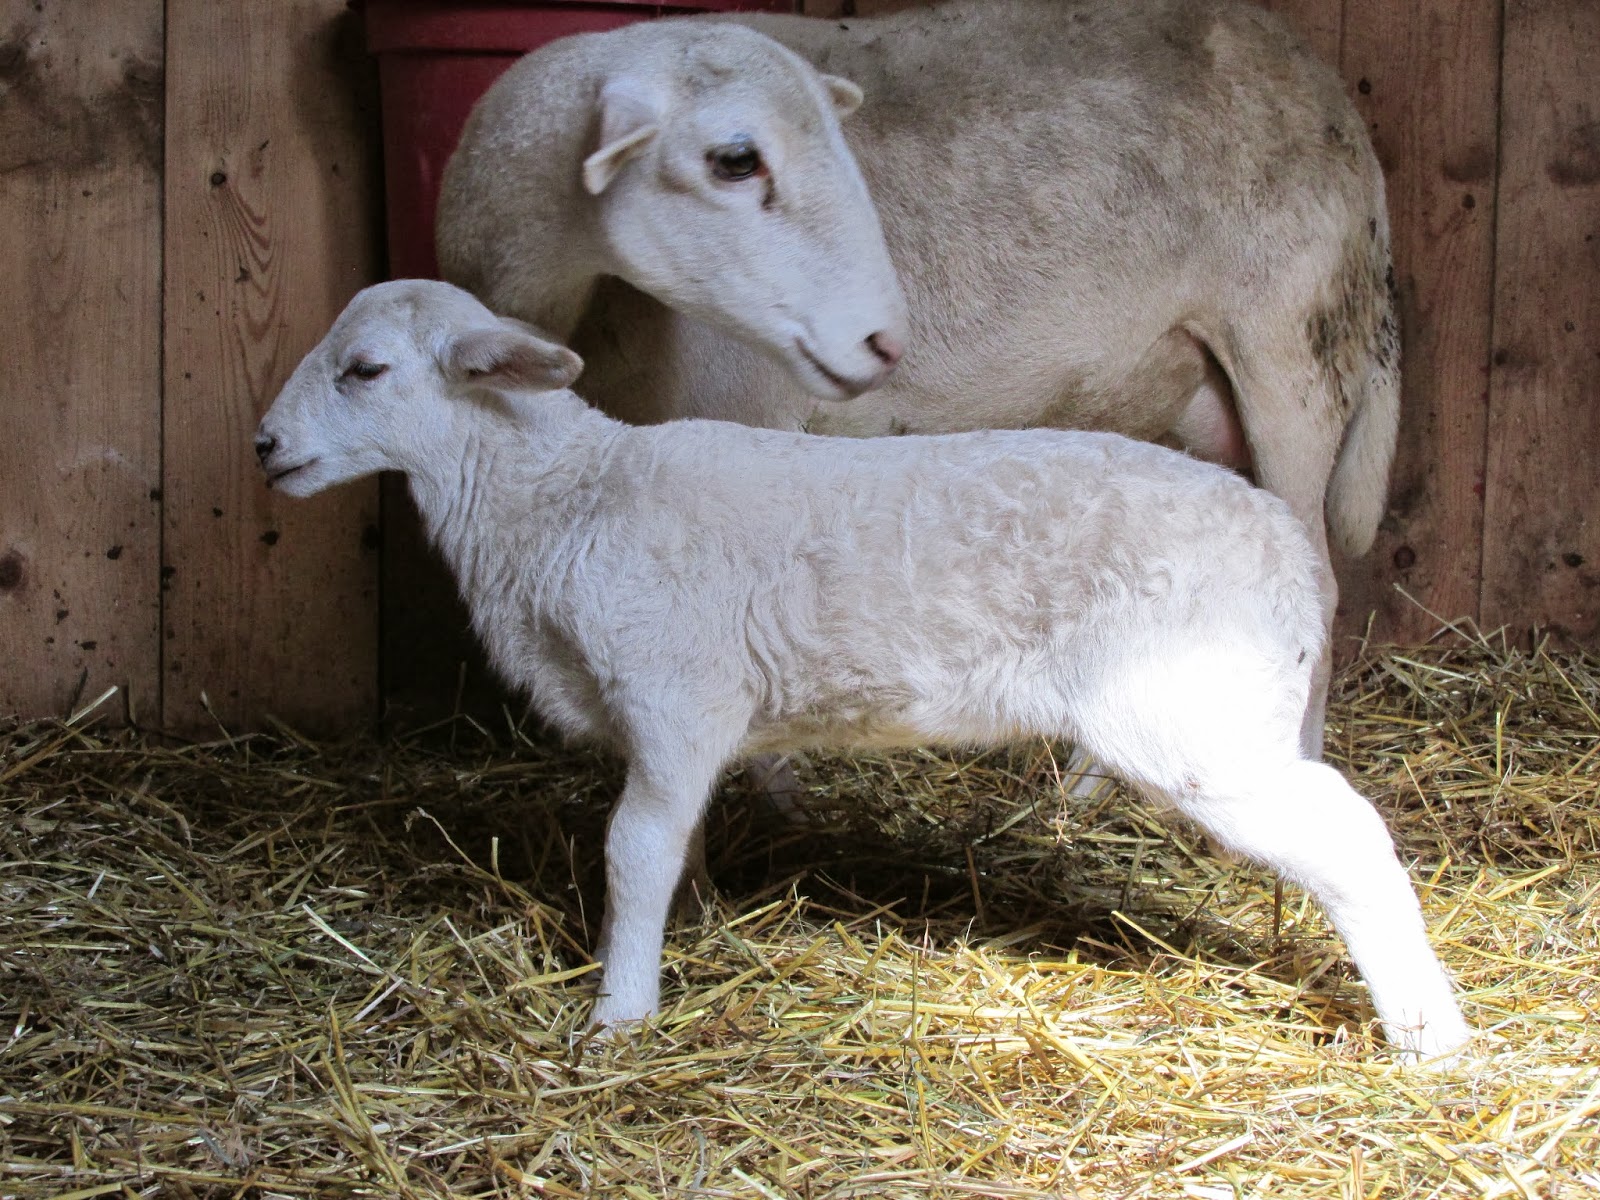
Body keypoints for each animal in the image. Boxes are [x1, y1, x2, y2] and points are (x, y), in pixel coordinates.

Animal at [255, 280, 1468, 1061]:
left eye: (364, 371)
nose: (265, 448)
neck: (564, 501)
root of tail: (1285, 546)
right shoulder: (690, 725)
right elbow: (679, 840)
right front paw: (686, 927)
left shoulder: (675, 696)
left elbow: (632, 851)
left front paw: (620, 1009)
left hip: (1195, 713)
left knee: (1355, 842)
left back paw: (1431, 1038)